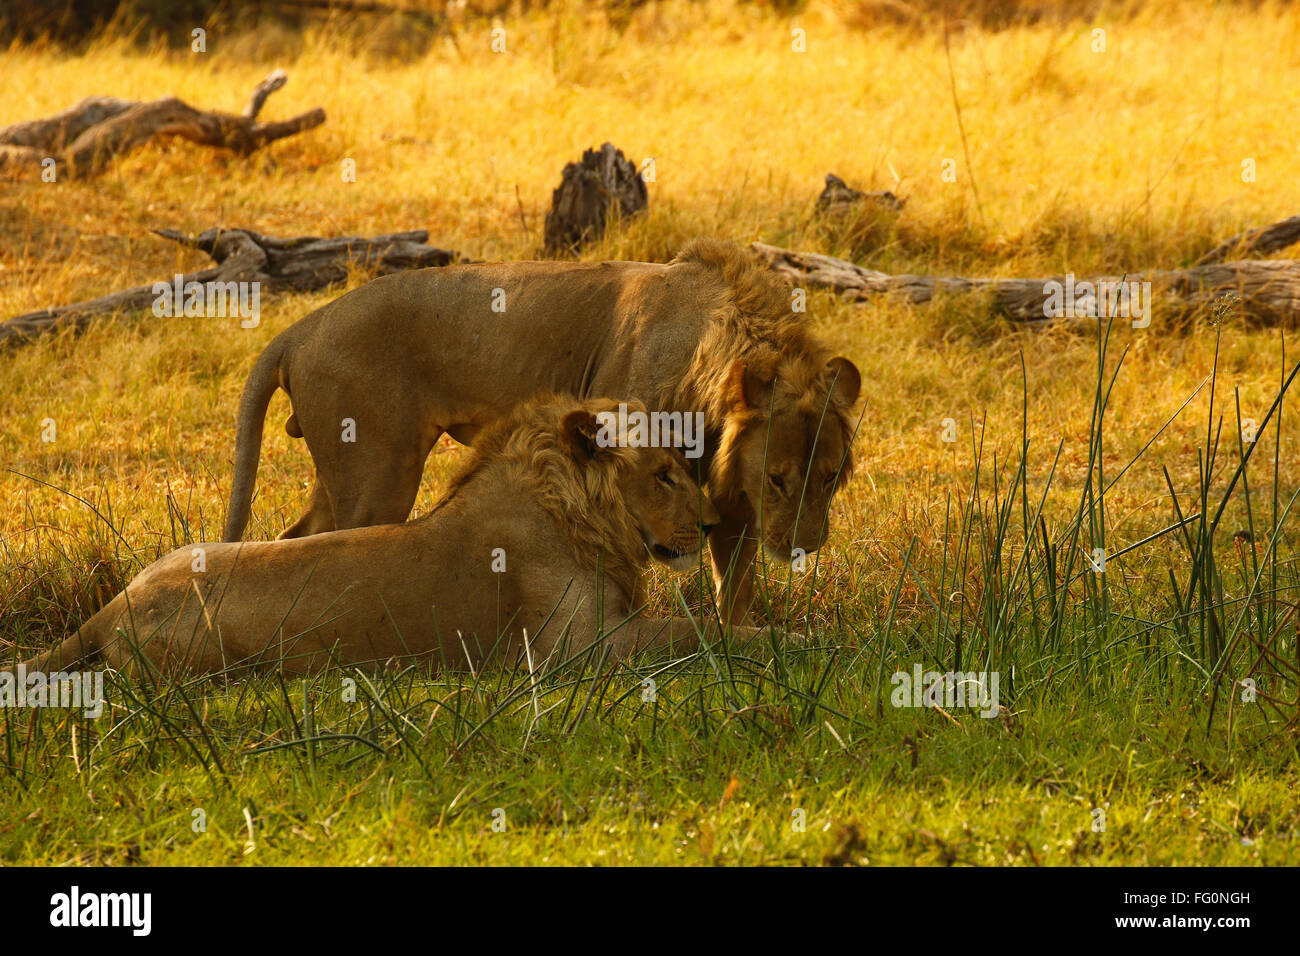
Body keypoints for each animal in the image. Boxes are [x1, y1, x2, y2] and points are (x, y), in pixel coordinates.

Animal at [23, 396, 766, 679]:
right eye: (663, 474)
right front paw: (784, 638)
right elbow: (699, 632)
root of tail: (113, 605)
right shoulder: (573, 651)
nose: (711, 524)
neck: (582, 517)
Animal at [221, 239, 861, 624]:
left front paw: (739, 639)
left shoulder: (727, 496)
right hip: (377, 477)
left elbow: (736, 576)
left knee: (295, 537)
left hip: (344, 474)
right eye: (777, 479)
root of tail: (302, 327)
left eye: (831, 479)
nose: (804, 547)